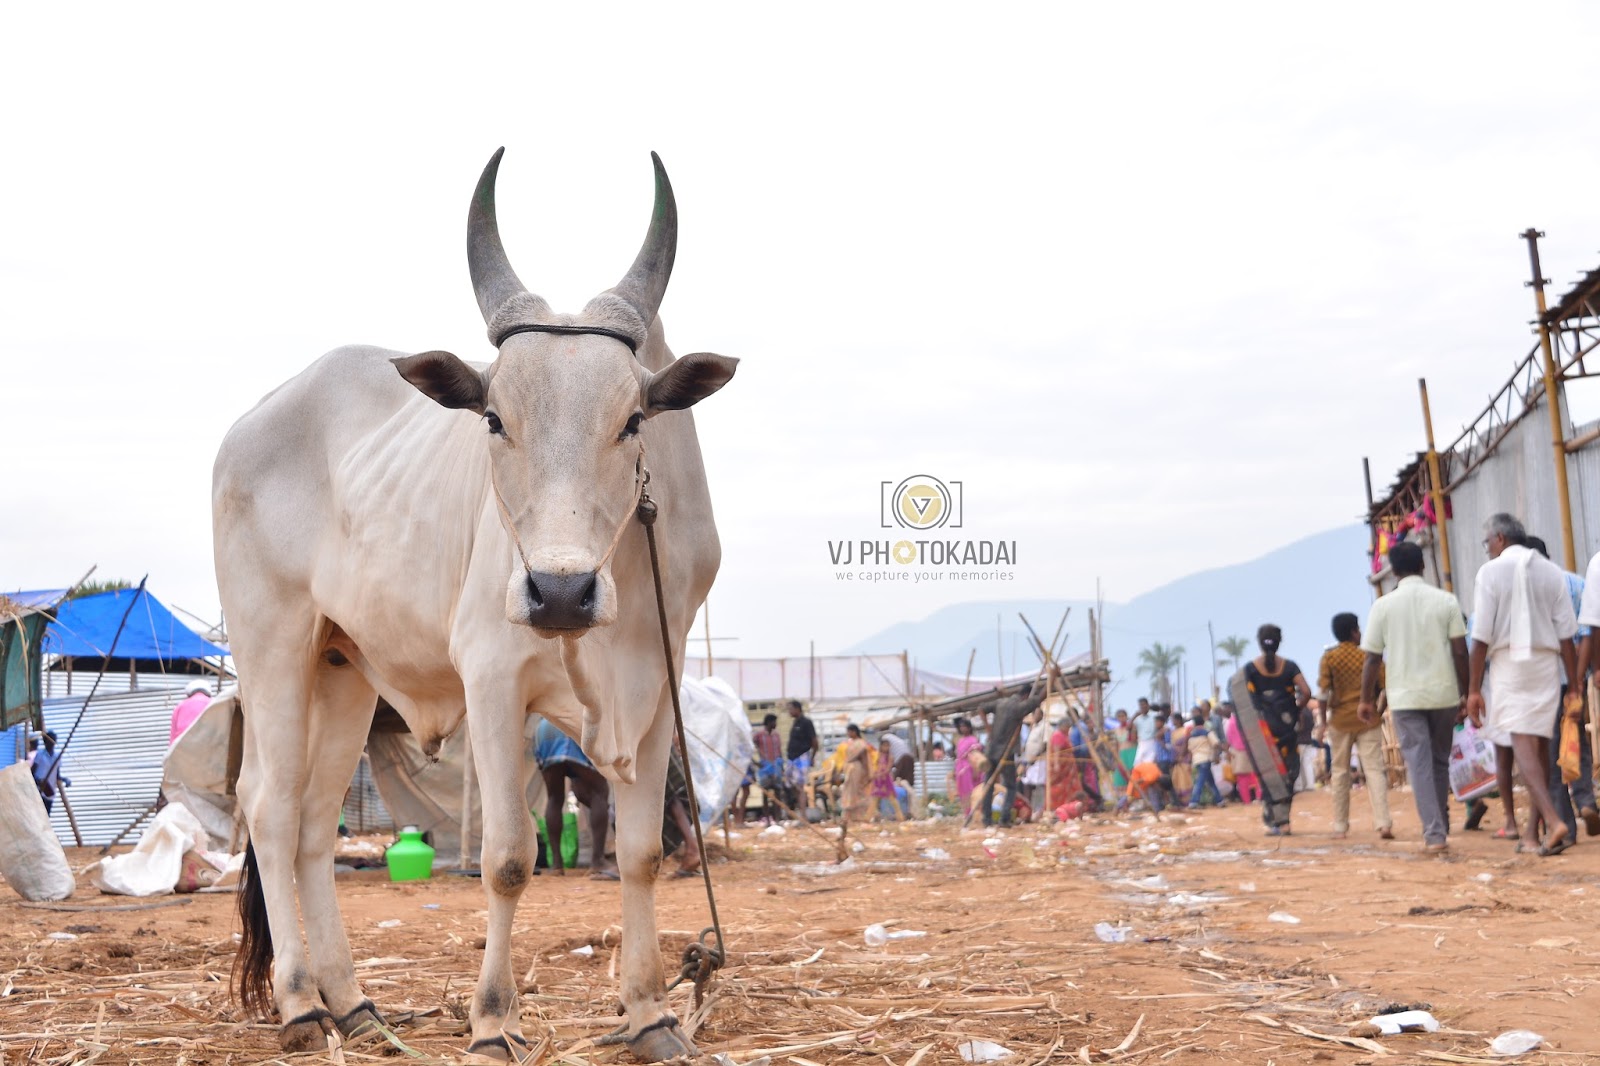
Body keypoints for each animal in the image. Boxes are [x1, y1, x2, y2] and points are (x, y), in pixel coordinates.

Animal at [213, 148, 737, 1062]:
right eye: (493, 418)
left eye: (634, 419)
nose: (560, 590)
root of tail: (249, 426)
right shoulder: (493, 680)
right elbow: (508, 859)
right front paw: (493, 1021)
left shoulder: (656, 688)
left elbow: (640, 851)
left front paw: (649, 1012)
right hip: (270, 644)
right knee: (269, 808)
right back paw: (302, 1006)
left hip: (344, 668)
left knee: (314, 823)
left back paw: (356, 1004)